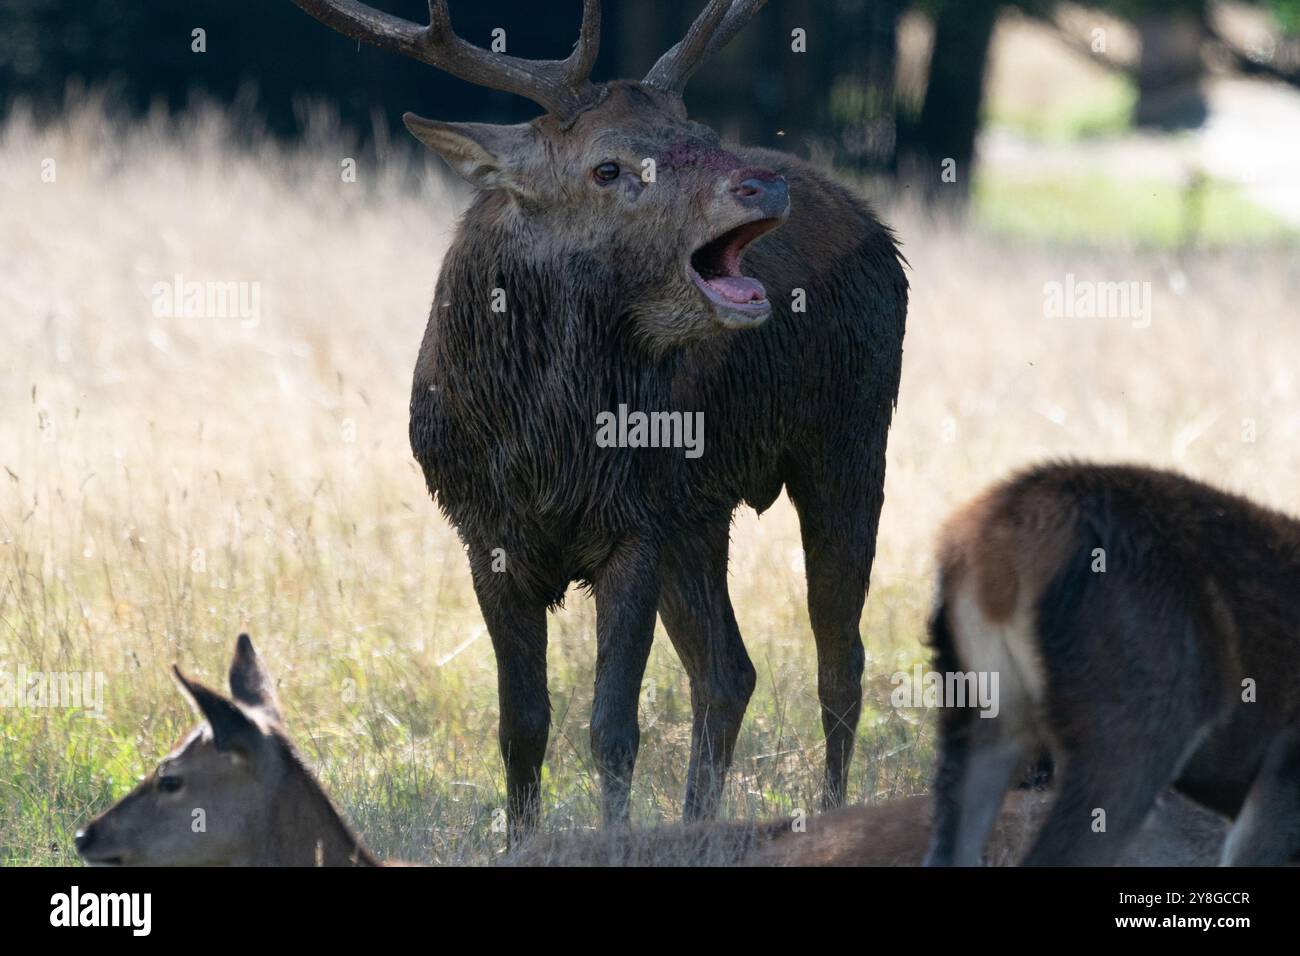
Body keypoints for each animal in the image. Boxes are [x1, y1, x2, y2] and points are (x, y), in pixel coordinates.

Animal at [287, 0, 908, 841]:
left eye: (700, 131)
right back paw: (696, 829)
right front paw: (520, 843)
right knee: (729, 671)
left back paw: (832, 815)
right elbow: (522, 725)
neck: (547, 445)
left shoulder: (636, 526)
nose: (761, 183)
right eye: (607, 167)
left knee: (839, 660)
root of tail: (879, 227)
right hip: (699, 513)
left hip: (847, 441)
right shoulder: (483, 533)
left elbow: (613, 729)